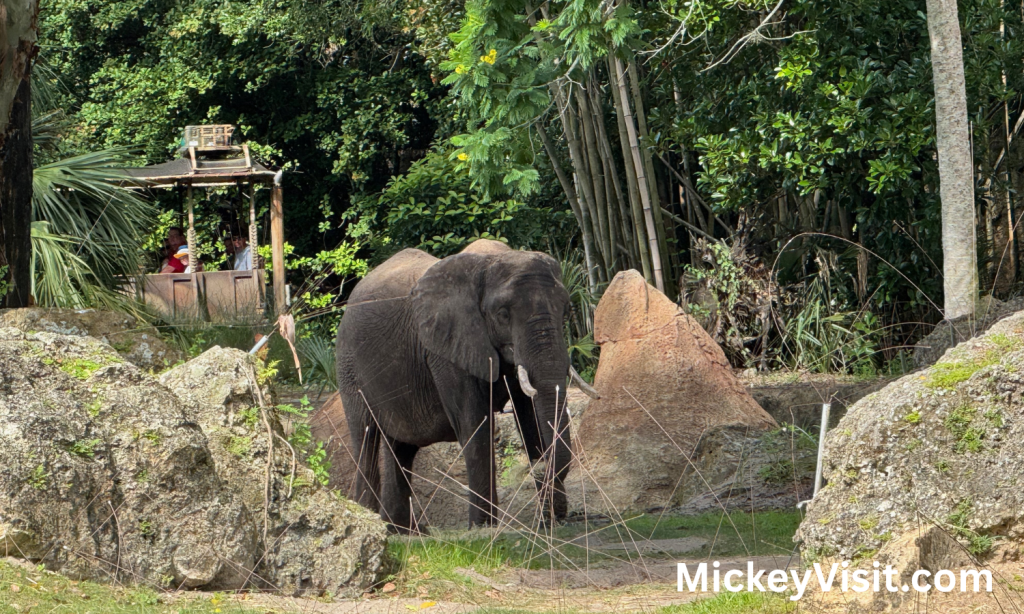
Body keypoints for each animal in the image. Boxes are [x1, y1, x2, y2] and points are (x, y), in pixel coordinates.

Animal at [335, 239, 597, 532]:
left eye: (566, 310)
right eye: (503, 314)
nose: (539, 467)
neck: (489, 261)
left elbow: (528, 417)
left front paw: (550, 522)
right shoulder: (446, 347)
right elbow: (474, 424)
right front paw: (483, 528)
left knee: (400, 446)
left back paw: (403, 530)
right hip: (348, 365)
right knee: (366, 435)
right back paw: (373, 521)